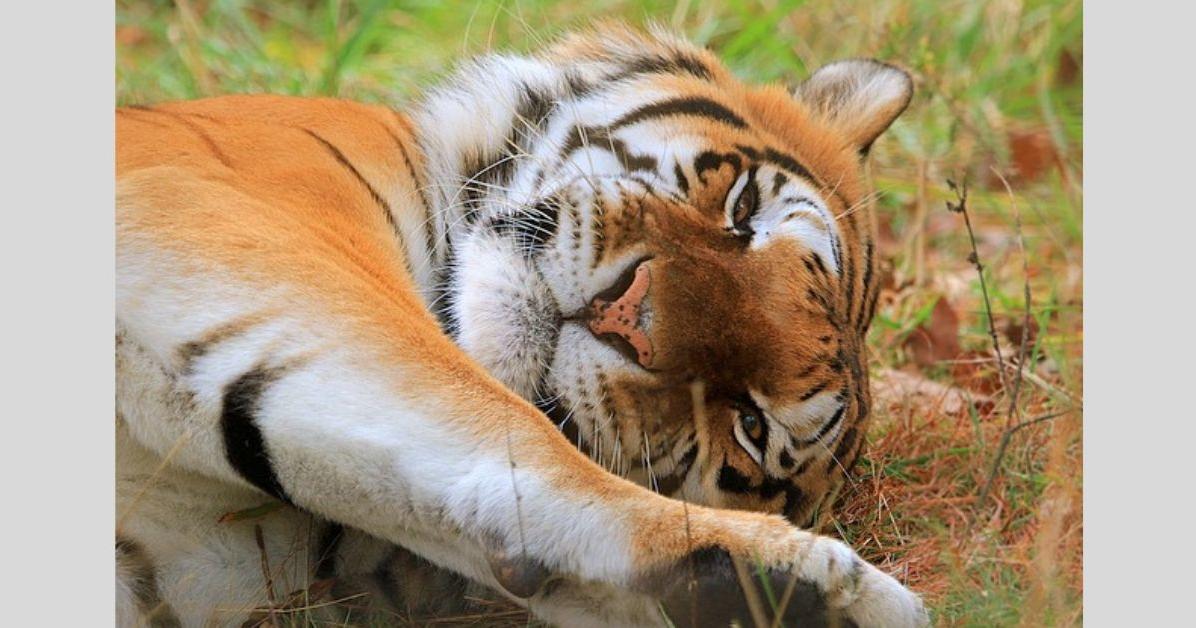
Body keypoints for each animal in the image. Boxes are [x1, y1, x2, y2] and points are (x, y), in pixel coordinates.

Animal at [116, 24, 922, 628]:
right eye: (743, 212)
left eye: (750, 426)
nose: (627, 318)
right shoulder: (225, 218)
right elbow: (513, 430)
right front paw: (818, 580)